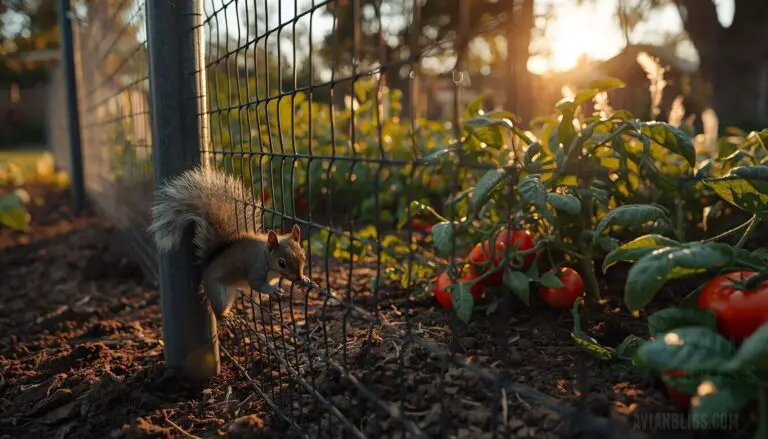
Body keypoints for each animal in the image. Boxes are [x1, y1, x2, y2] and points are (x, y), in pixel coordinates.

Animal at [147, 166, 310, 318]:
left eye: (304, 257)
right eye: (281, 263)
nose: (298, 277)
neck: (266, 256)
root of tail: (206, 267)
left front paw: (305, 281)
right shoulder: (256, 267)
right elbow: (256, 283)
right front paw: (273, 290)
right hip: (219, 292)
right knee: (218, 309)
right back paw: (225, 316)